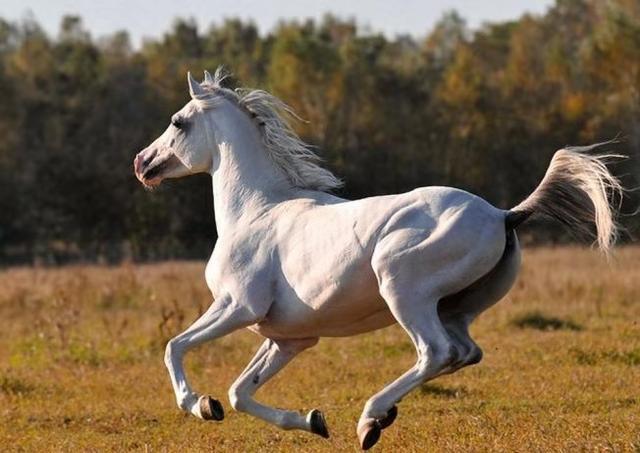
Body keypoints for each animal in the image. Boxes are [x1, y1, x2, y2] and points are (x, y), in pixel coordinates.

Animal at [133, 68, 623, 450]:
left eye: (178, 122)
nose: (142, 163)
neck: (256, 210)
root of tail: (505, 214)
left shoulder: (237, 306)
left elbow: (174, 346)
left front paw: (198, 405)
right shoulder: (288, 338)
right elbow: (240, 393)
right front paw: (311, 420)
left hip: (403, 291)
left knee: (436, 352)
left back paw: (369, 420)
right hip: (455, 308)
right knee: (465, 352)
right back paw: (381, 416)